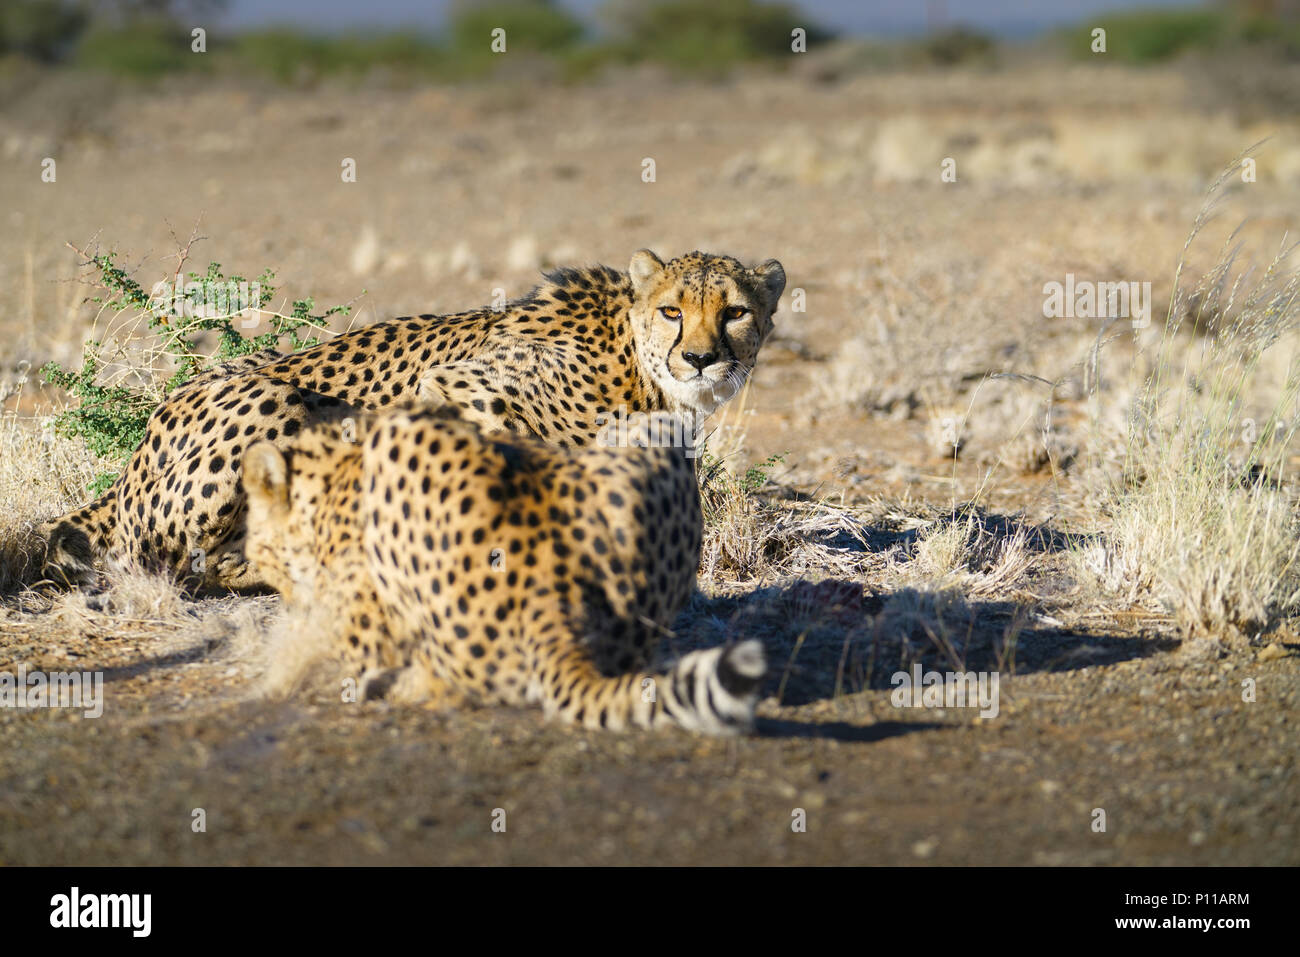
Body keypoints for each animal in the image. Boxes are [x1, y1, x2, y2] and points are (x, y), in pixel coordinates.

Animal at [45, 247, 785, 590]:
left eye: (735, 312)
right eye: (672, 310)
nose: (700, 359)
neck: (635, 362)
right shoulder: (458, 384)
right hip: (272, 401)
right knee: (177, 563)